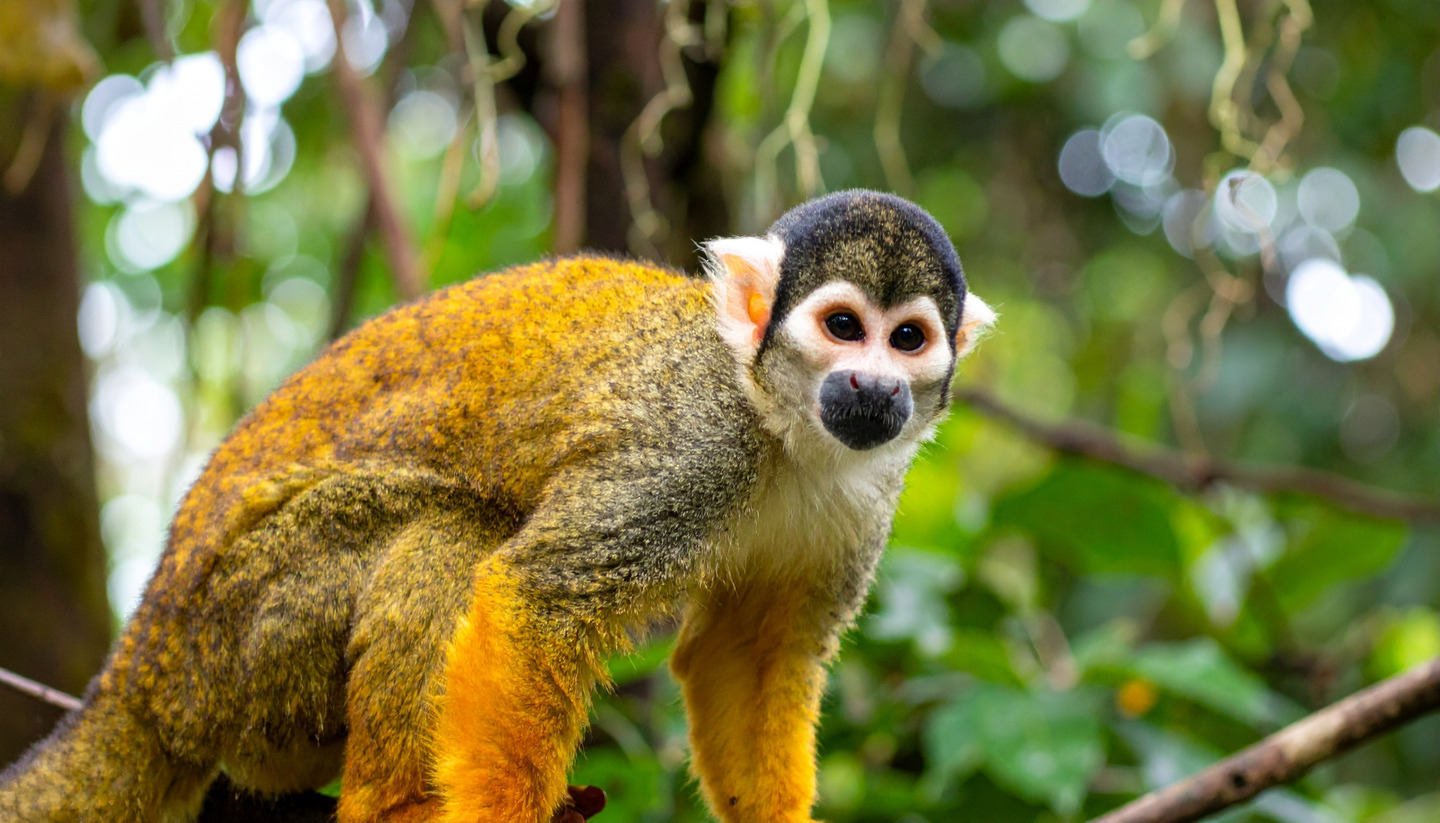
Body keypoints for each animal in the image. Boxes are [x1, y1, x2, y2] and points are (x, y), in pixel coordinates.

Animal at [0, 189, 994, 823]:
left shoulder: (868, 496)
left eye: (908, 339)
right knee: (452, 530)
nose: (873, 386)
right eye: (842, 327)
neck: (779, 423)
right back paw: (392, 802)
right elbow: (538, 595)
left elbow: (748, 654)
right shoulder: (690, 445)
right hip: (239, 632)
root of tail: (137, 671)